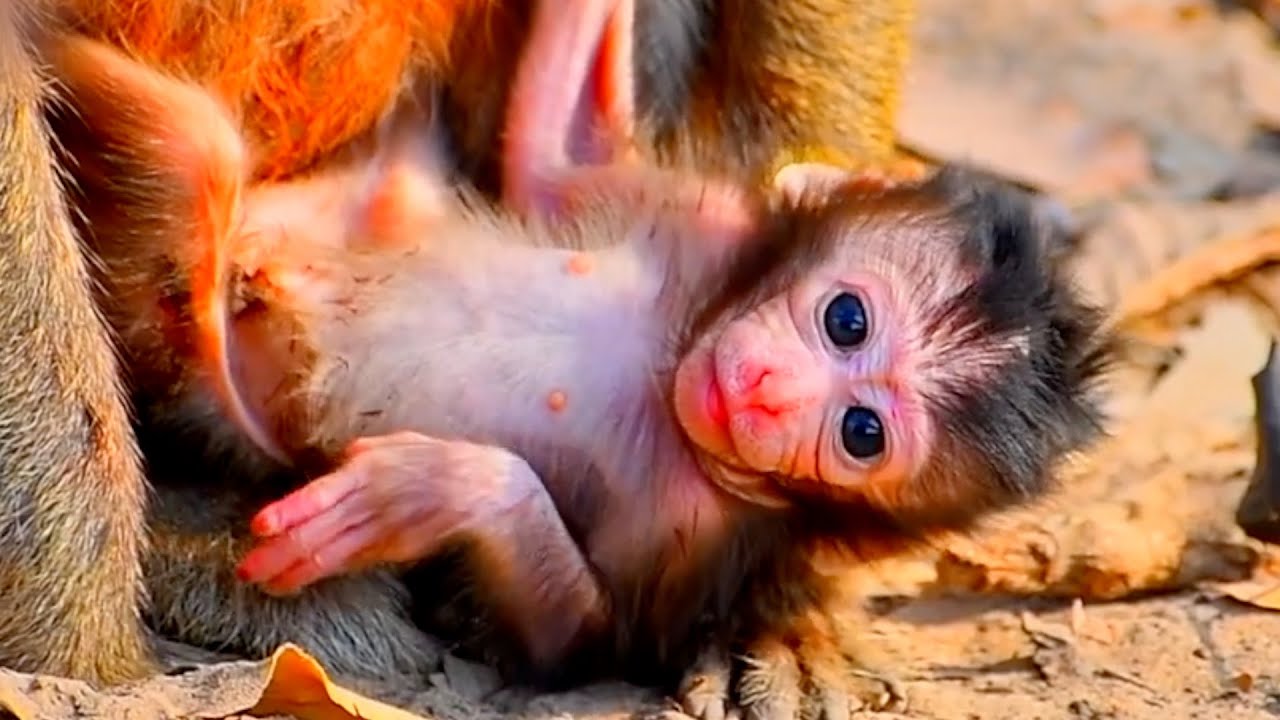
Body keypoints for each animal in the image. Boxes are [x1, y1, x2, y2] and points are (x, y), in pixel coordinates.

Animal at [41, 1, 1110, 715]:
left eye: (861, 433)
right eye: (845, 319)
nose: (769, 393)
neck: (670, 360)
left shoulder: (685, 538)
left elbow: (568, 637)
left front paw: (435, 493)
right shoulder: (689, 213)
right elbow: (554, 163)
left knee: (189, 155)